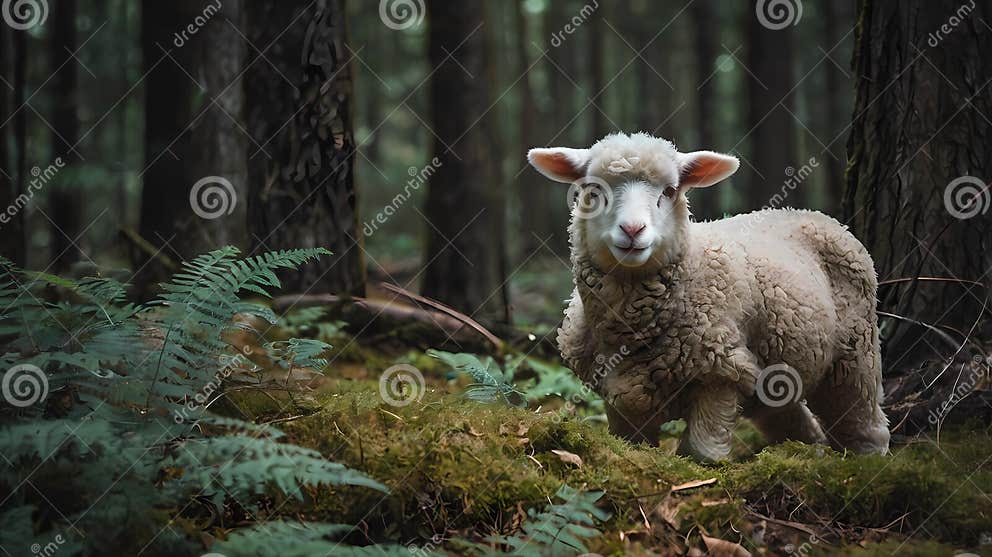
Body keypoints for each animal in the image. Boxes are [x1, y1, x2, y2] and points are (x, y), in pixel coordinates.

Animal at [527, 132, 890, 461]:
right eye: (594, 190)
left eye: (669, 191)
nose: (632, 230)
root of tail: (812, 214)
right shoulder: (621, 395)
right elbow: (632, 448)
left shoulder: (721, 372)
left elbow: (702, 454)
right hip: (777, 377)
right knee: (791, 418)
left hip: (856, 351)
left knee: (863, 417)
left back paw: (869, 458)